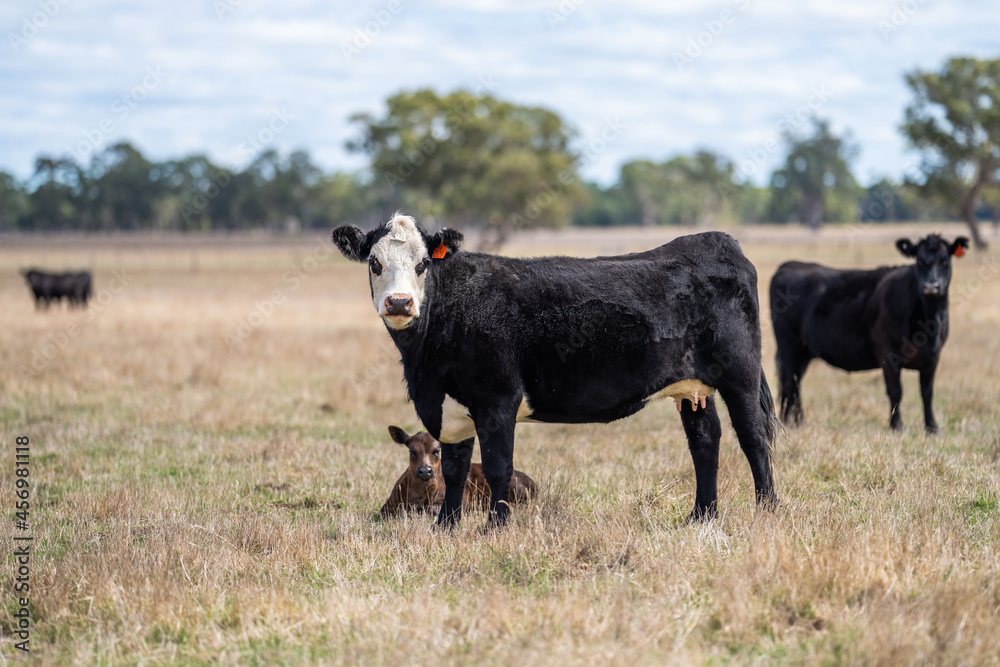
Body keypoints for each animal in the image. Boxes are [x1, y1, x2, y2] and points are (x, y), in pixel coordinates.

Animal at [379, 426, 536, 518]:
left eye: (437, 450)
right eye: (412, 451)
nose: (425, 471)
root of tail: (532, 482)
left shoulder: (463, 501)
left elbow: (431, 509)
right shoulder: (388, 506)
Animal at [769, 234, 969, 433]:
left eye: (944, 261)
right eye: (919, 261)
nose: (931, 286)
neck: (927, 321)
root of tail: (790, 264)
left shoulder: (932, 358)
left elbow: (927, 393)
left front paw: (932, 428)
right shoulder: (887, 354)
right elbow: (895, 391)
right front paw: (897, 426)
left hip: (804, 352)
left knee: (795, 384)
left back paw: (797, 422)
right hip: (789, 346)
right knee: (790, 383)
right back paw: (792, 423)